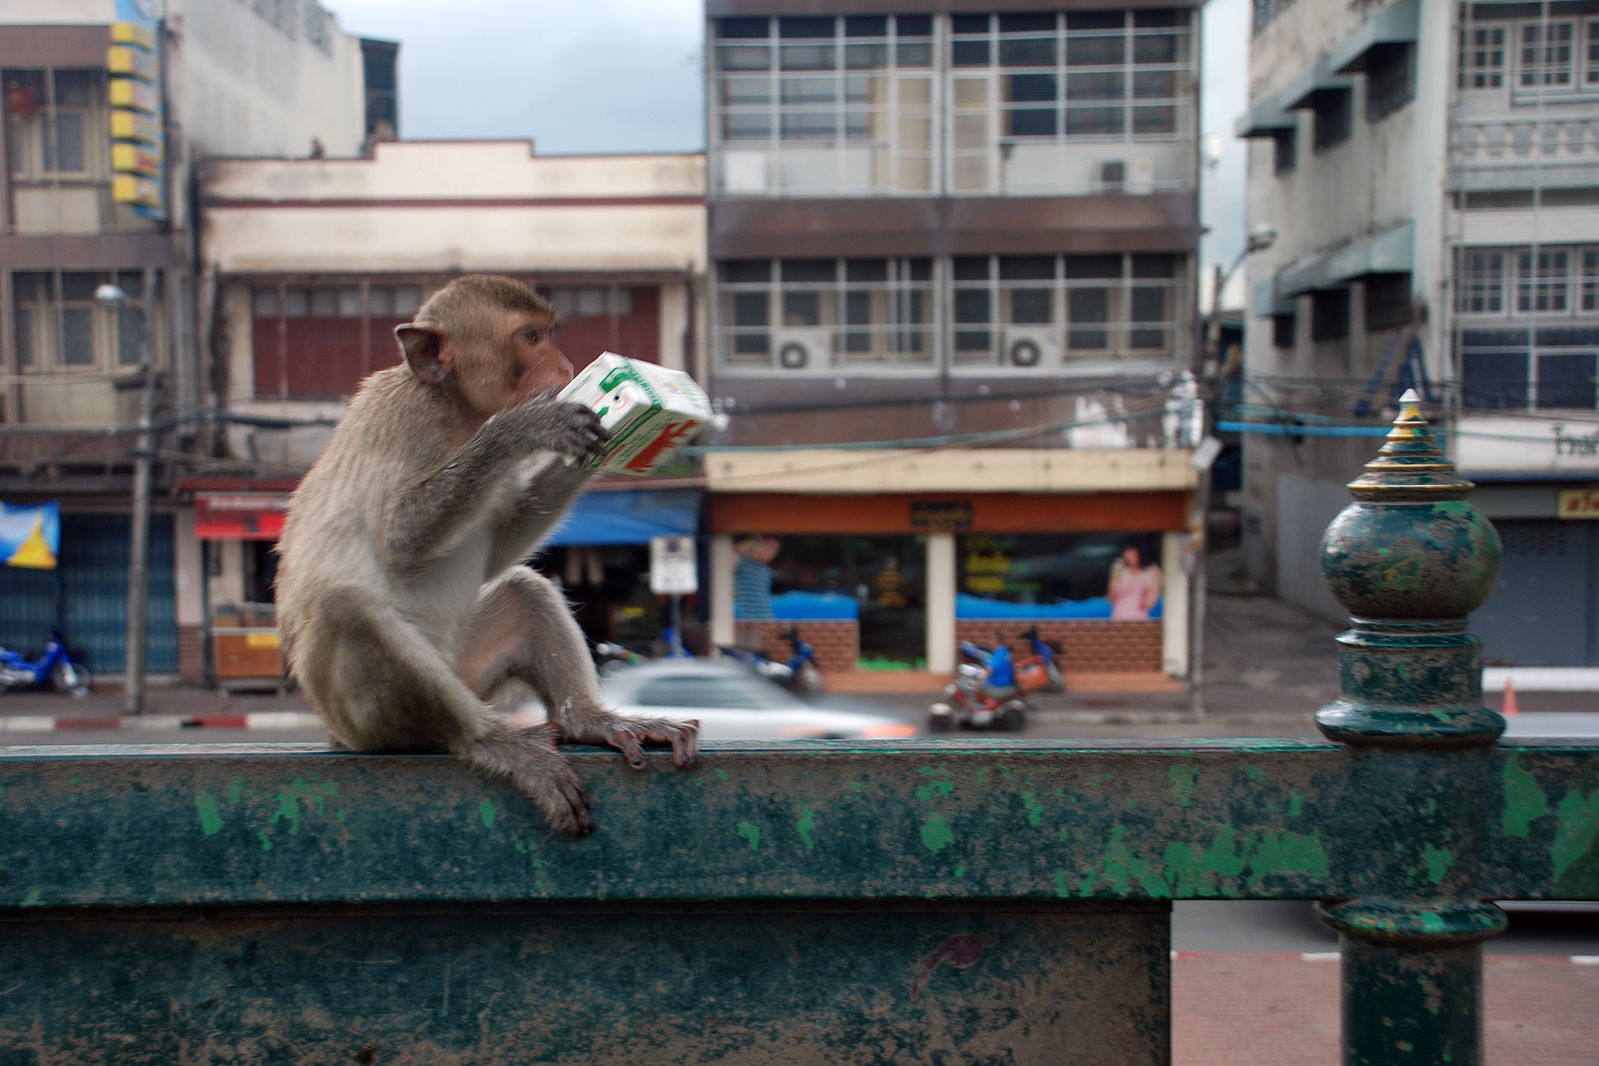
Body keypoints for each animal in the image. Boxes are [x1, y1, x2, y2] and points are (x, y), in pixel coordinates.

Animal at [274, 275, 698, 835]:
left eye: (548, 334)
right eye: (532, 337)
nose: (567, 368)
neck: (453, 407)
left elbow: (500, 545)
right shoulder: (405, 419)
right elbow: (401, 540)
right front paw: (527, 427)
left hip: (469, 669)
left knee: (525, 587)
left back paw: (589, 719)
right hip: (360, 717)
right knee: (347, 606)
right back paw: (490, 741)